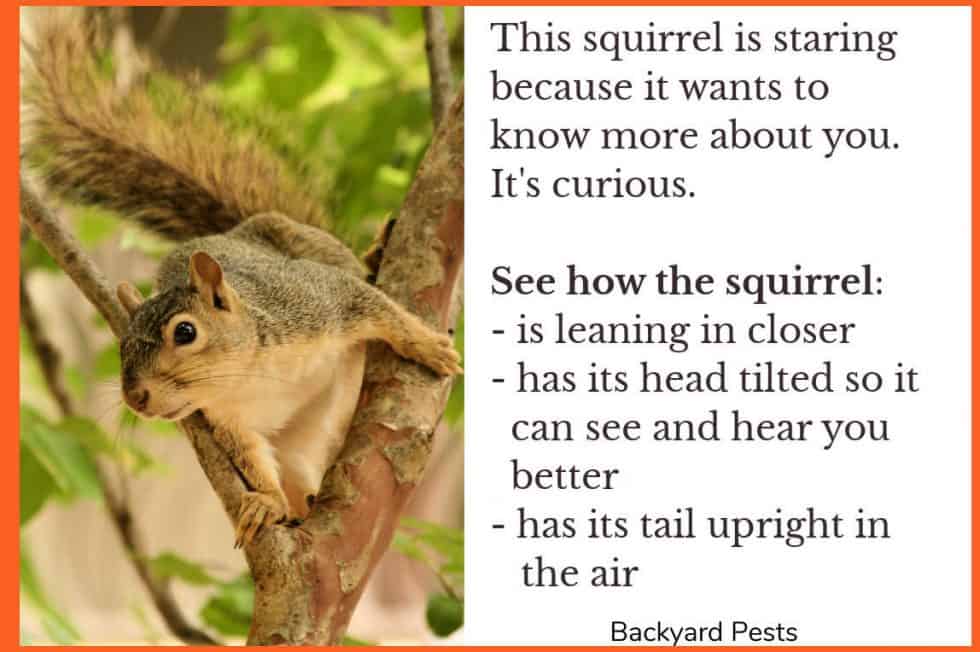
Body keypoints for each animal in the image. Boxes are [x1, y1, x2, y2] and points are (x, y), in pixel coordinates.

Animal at [23, 14, 462, 547]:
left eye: (185, 332)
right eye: (122, 345)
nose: (135, 398)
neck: (247, 371)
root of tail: (229, 231)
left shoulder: (319, 301)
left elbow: (379, 309)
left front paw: (428, 346)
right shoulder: (230, 423)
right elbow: (253, 462)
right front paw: (265, 504)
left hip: (306, 246)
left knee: (358, 272)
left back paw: (376, 253)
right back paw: (300, 503)